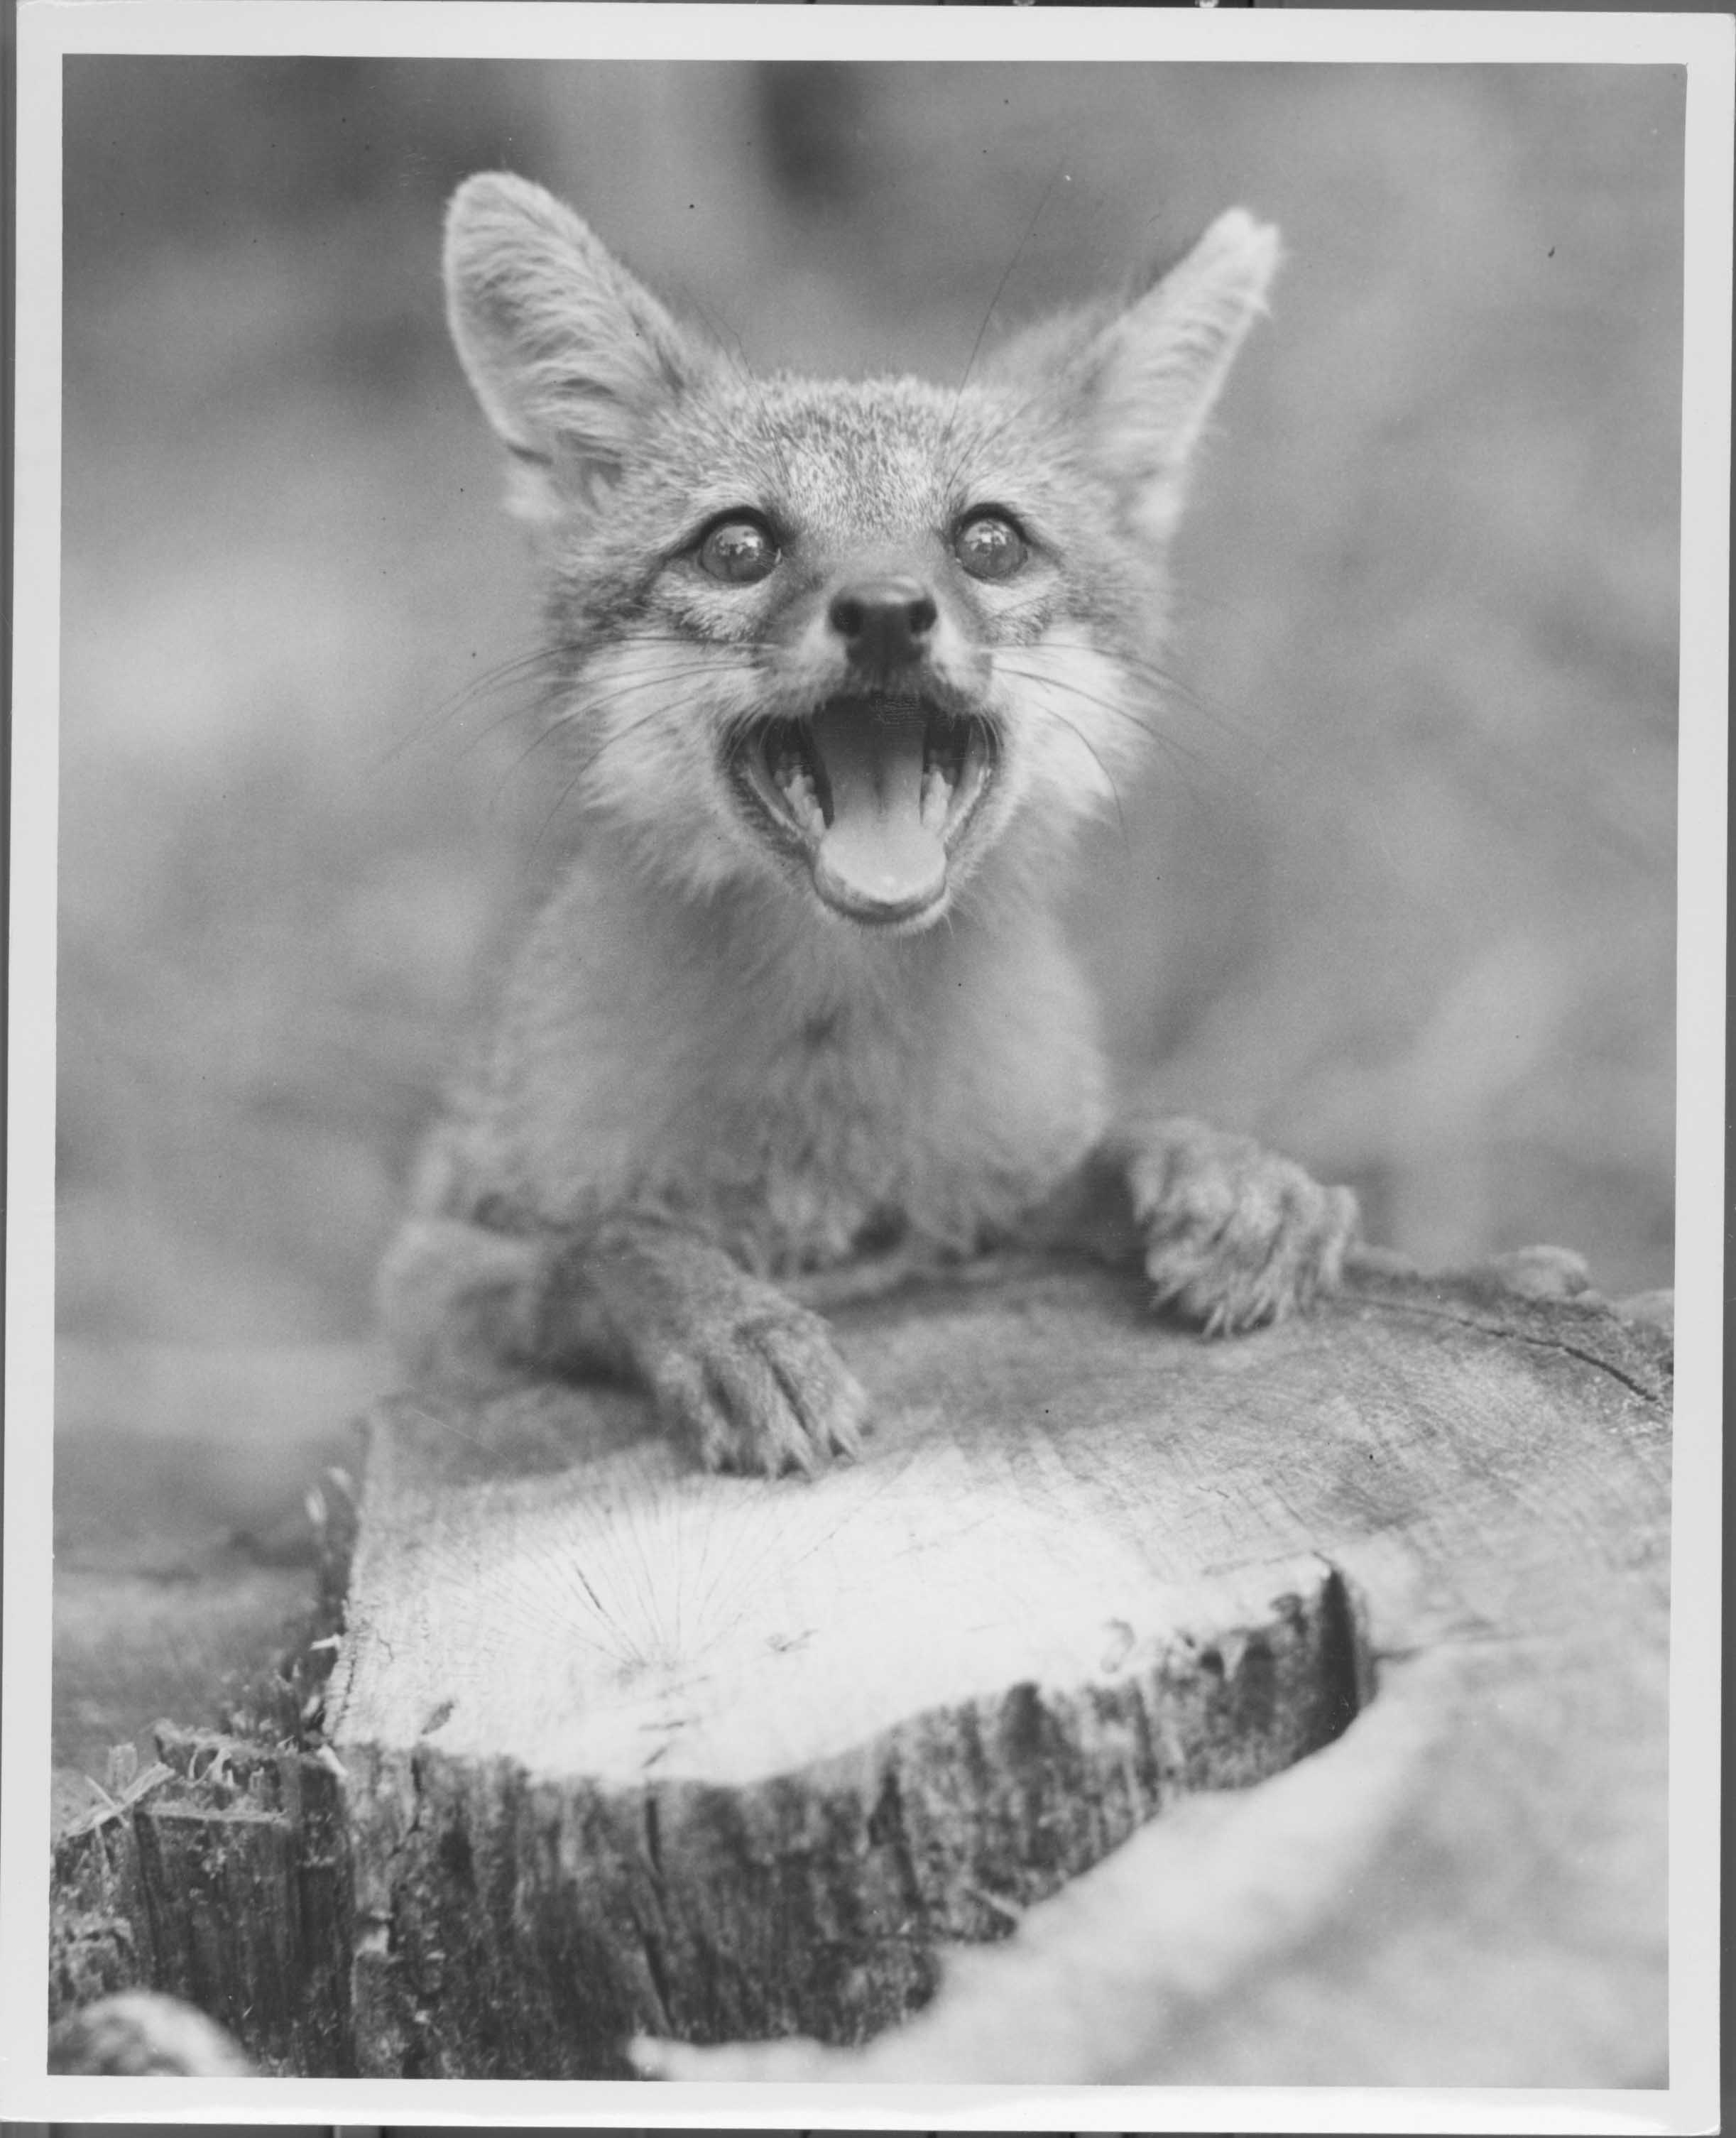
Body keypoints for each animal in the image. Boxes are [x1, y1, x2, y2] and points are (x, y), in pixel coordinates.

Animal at [380, 171, 1360, 1477]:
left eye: (988, 540)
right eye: (738, 545)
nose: (888, 612)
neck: (827, 1088)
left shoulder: (980, 1203)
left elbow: (1101, 1150)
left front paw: (1223, 1171)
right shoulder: (432, 1273)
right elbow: (616, 1241)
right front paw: (731, 1327)